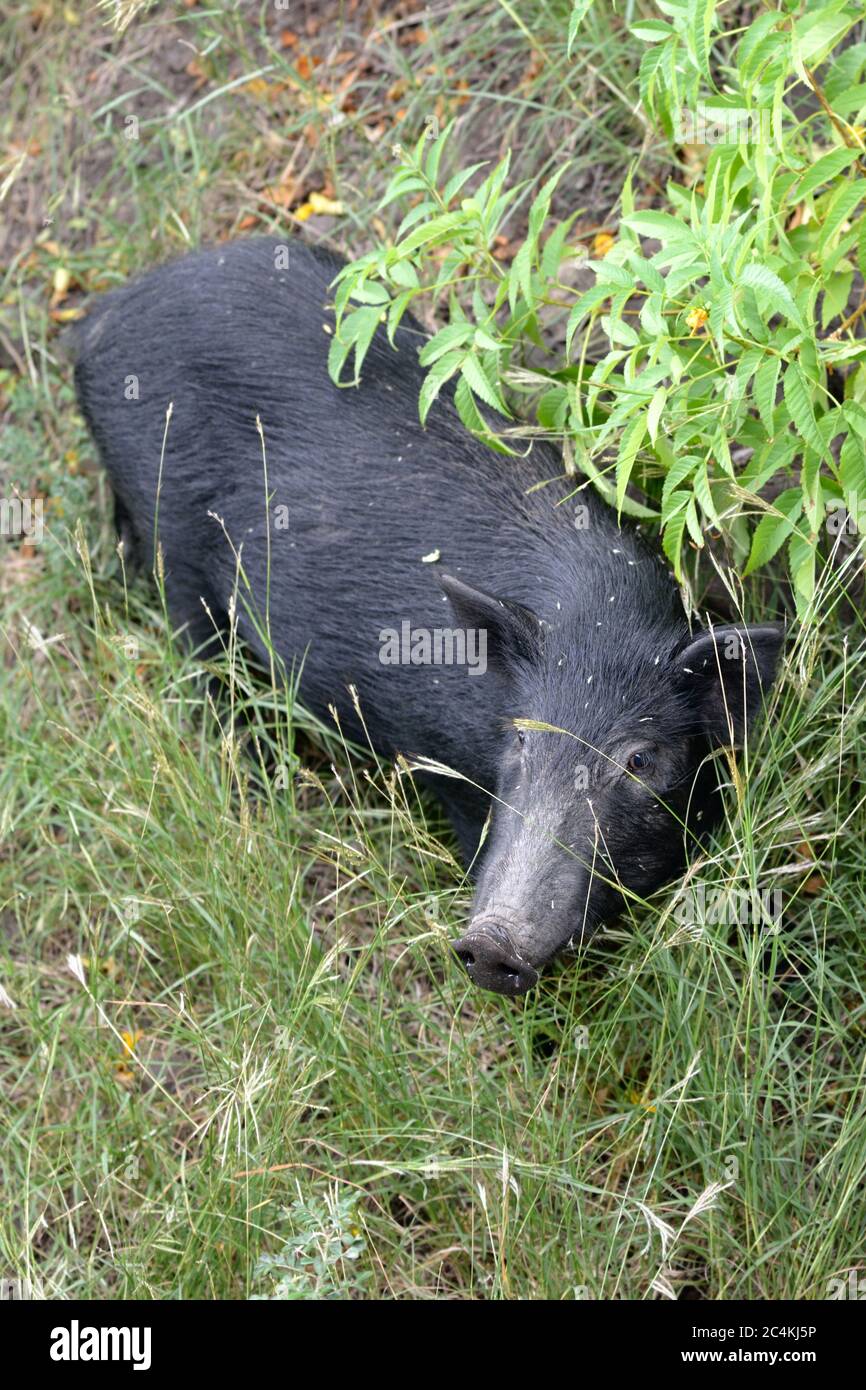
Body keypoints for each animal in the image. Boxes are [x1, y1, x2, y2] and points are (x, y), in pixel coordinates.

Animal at [72, 236, 783, 994]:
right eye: (520, 740)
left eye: (641, 759)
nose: (491, 941)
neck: (600, 621)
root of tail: (98, 319)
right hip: (172, 540)